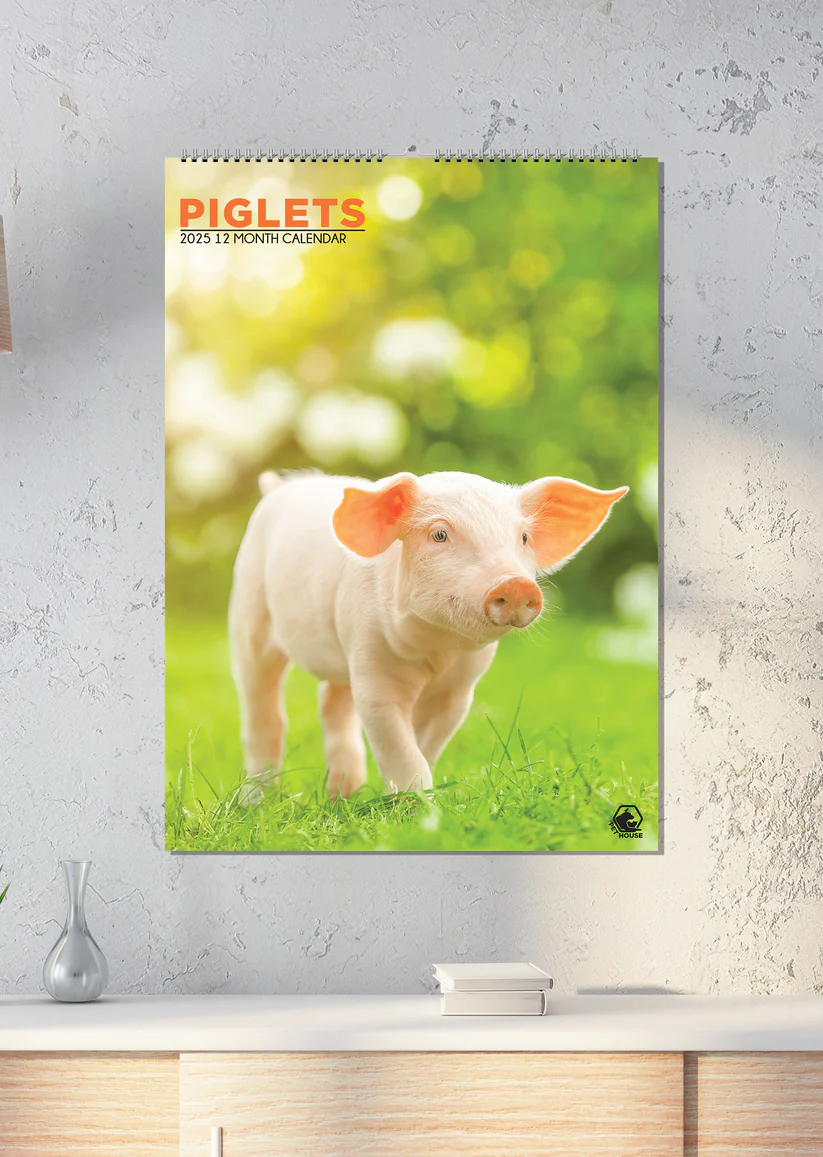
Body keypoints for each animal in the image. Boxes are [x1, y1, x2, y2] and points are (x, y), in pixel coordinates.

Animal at [229, 469, 628, 804]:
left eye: (524, 537)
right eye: (439, 534)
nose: (515, 584)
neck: (437, 648)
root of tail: (277, 488)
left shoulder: (458, 691)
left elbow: (426, 745)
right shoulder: (373, 668)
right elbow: (399, 746)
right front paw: (419, 809)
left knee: (331, 702)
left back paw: (344, 796)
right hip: (248, 615)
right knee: (263, 710)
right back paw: (256, 802)